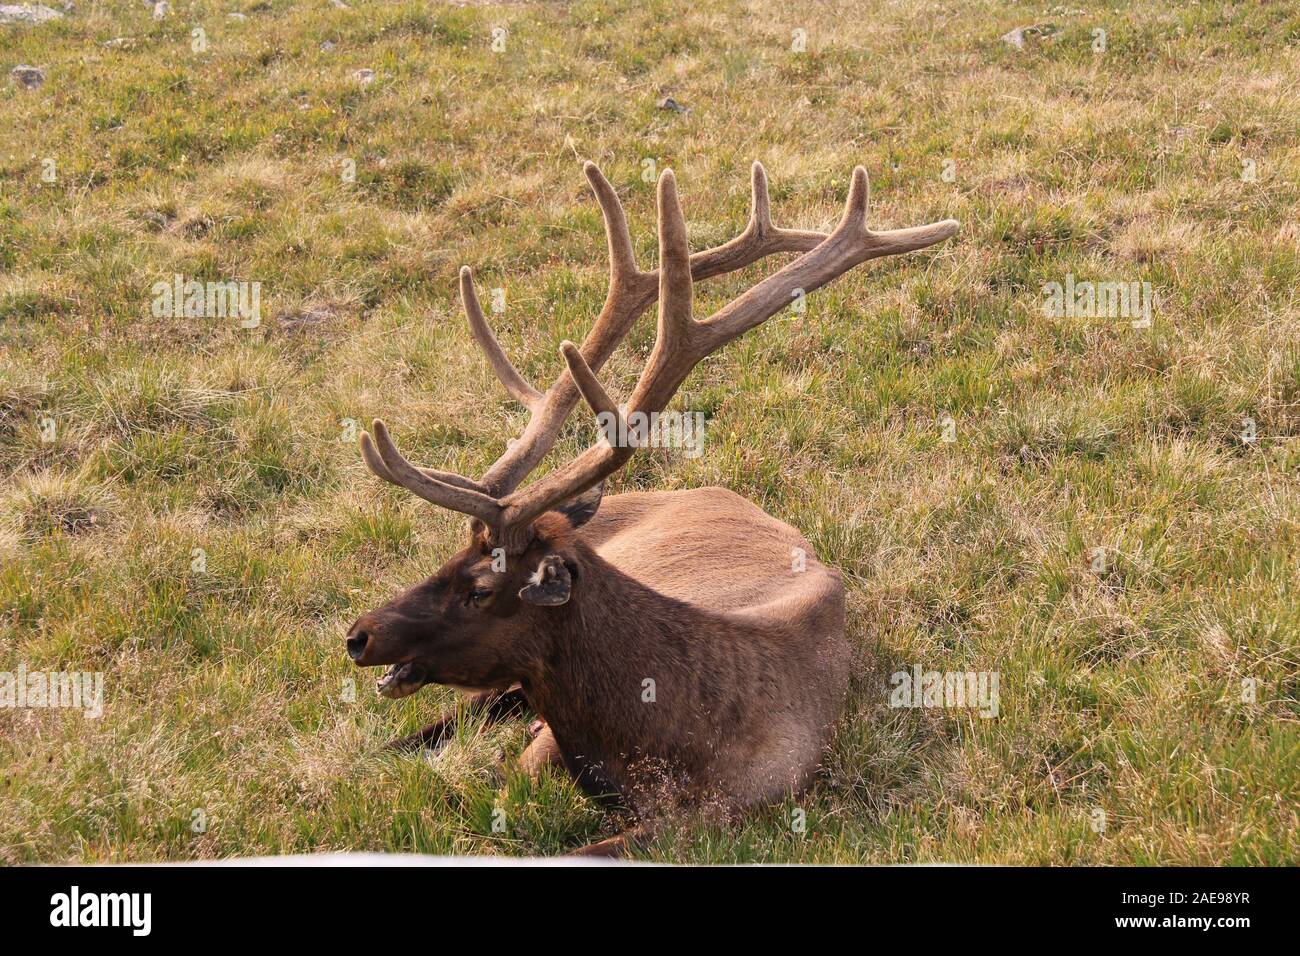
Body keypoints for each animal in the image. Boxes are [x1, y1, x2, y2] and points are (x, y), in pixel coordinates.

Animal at [344, 160, 958, 855]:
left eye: (480, 589)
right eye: (449, 556)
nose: (358, 634)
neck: (663, 745)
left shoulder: (717, 818)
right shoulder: (548, 743)